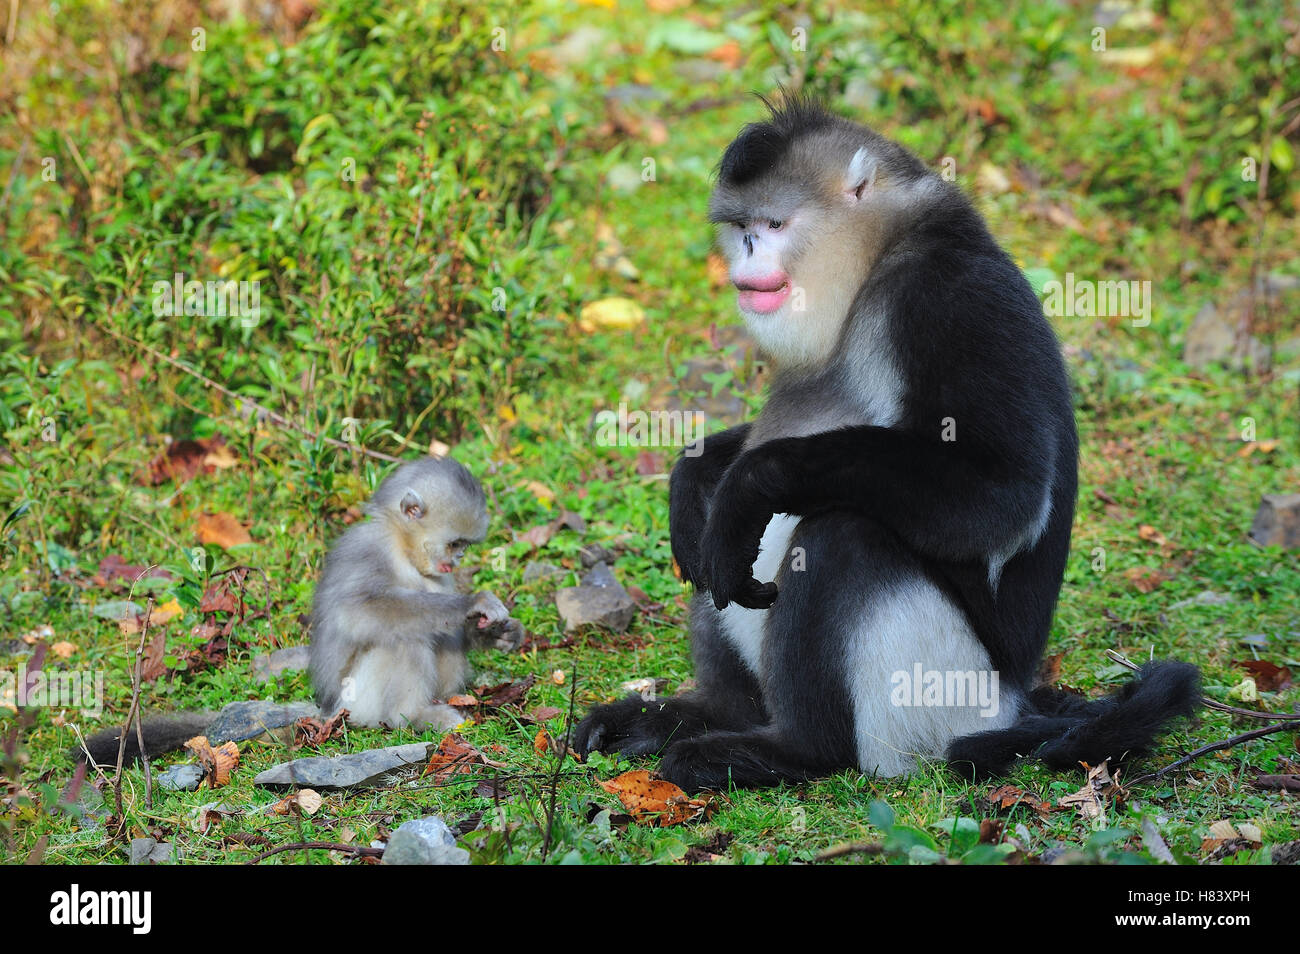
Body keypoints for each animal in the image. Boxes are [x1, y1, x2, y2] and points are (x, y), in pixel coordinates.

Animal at [80, 455, 522, 765]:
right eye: (455, 543)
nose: (458, 559)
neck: (400, 546)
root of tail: (326, 711)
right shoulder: (368, 550)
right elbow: (356, 611)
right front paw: (473, 603)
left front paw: (497, 633)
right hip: (357, 701)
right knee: (402, 634)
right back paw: (413, 715)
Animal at [574, 94, 1199, 791]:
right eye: (741, 228)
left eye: (773, 223)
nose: (746, 255)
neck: (876, 265)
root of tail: (1014, 700)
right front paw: (695, 473)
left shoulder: (948, 296)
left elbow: (1002, 496)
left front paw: (753, 482)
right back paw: (701, 714)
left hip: (946, 691)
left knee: (844, 531)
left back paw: (788, 749)